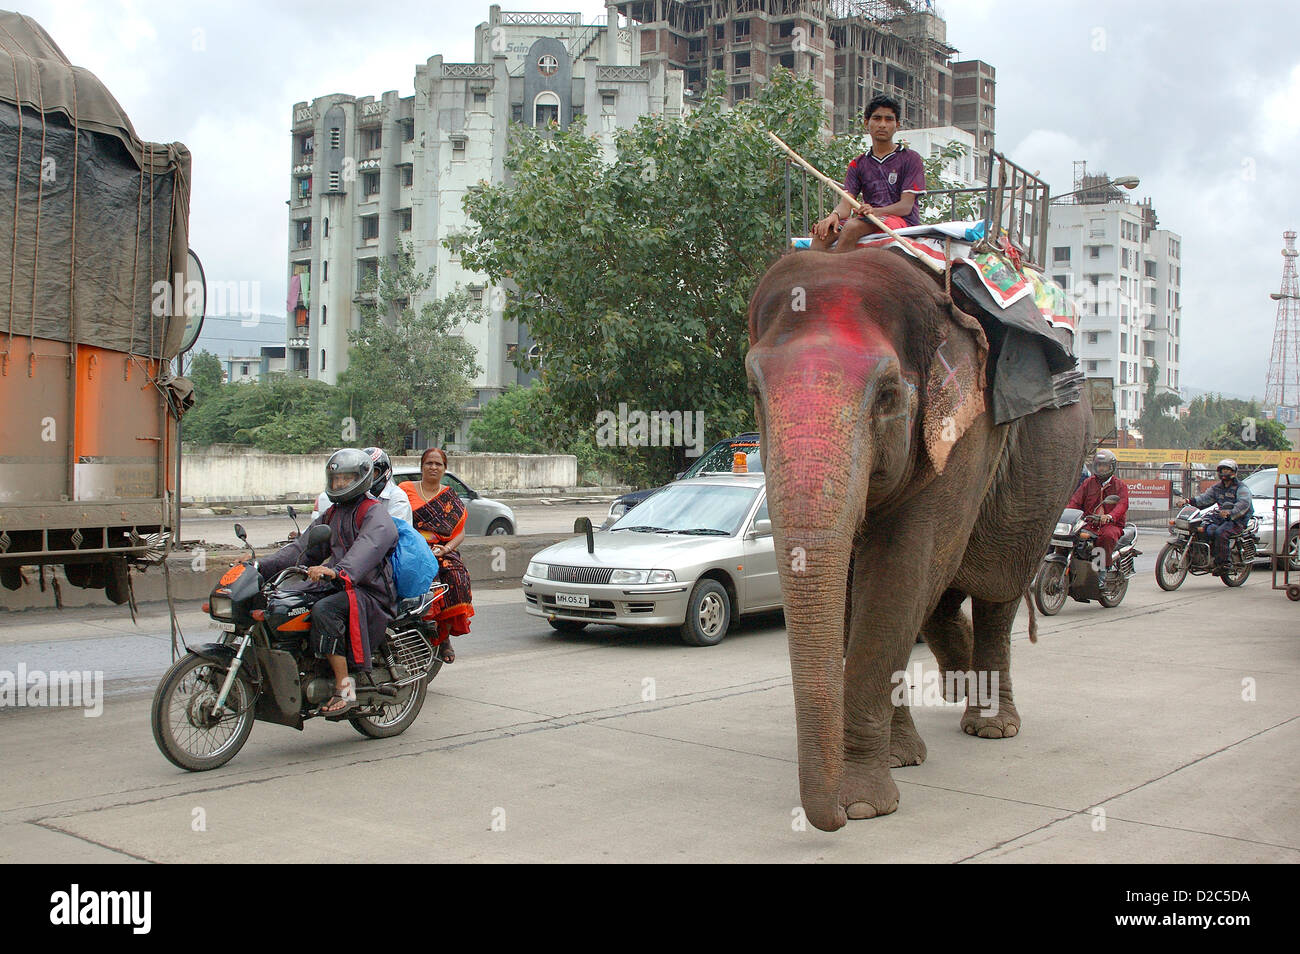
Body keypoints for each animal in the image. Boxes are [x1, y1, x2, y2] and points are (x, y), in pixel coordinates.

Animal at [745, 246, 1089, 832]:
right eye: (753, 391)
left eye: (887, 395)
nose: (830, 817)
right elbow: (861, 592)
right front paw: (890, 767)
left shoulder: (967, 435)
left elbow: (899, 573)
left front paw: (862, 805)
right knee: (941, 600)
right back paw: (955, 683)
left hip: (1048, 476)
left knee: (997, 587)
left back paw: (992, 724)